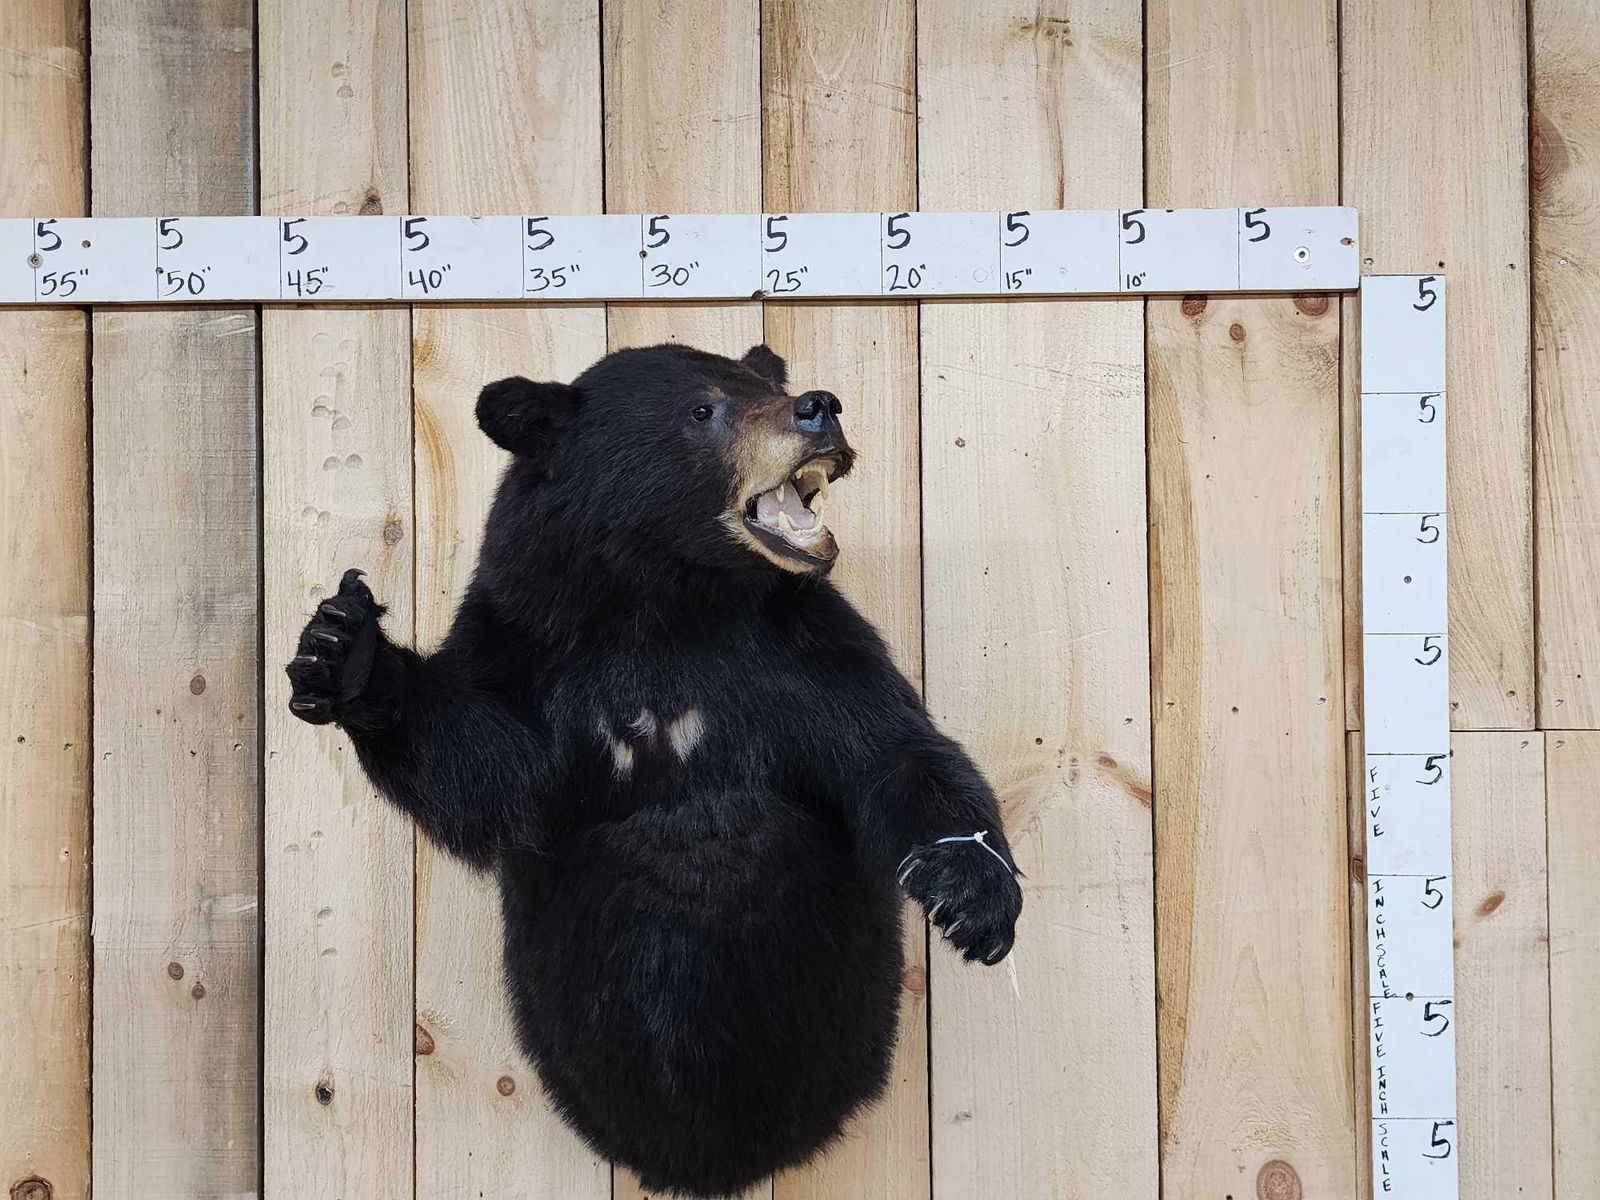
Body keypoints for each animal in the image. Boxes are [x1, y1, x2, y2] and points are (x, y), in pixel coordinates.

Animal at [286, 342, 1023, 1197]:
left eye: (763, 385)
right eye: (703, 408)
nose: (820, 406)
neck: (666, 601)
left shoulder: (805, 651)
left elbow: (894, 749)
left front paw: (971, 885)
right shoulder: (529, 646)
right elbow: (486, 771)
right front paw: (349, 653)